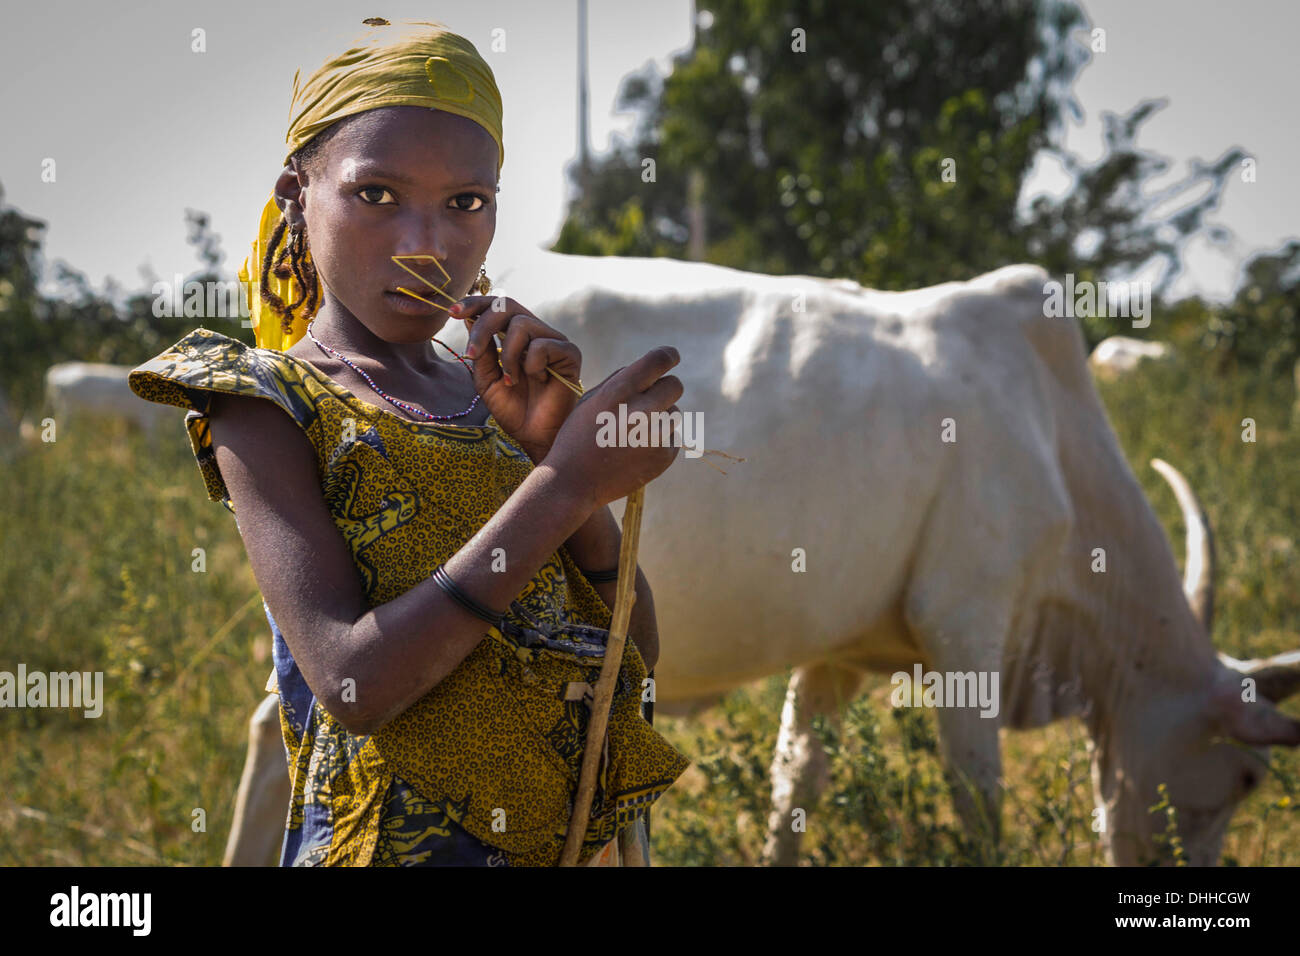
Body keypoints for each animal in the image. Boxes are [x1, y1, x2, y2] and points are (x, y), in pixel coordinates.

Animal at [210, 253, 1300, 866]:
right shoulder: (969, 633)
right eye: (1248, 778)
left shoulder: (842, 658)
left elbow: (793, 788)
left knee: (274, 722)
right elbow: (979, 804)